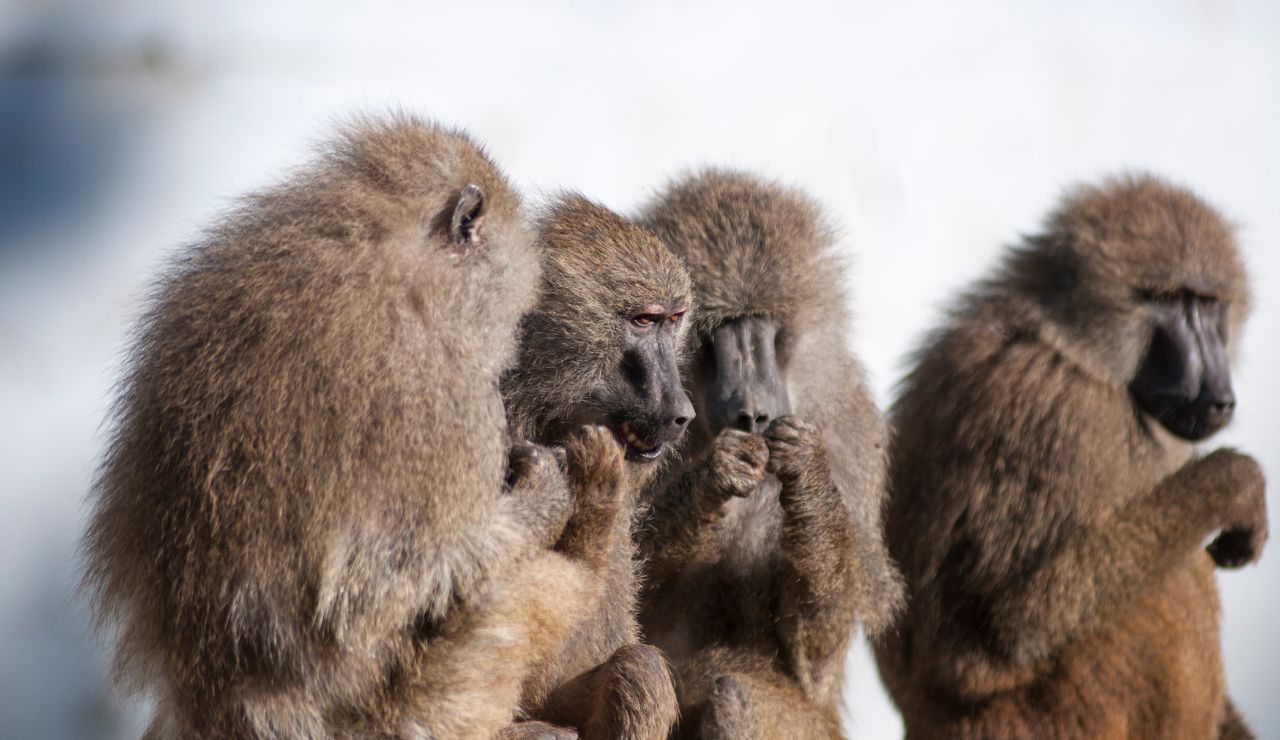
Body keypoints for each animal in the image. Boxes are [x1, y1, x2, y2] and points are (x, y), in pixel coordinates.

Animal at [80, 115, 621, 738]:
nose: (508, 350)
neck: (387, 256)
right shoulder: (452, 406)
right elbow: (376, 599)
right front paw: (543, 497)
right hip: (412, 712)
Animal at [631, 169, 905, 738]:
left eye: (767, 329)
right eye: (717, 332)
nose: (753, 413)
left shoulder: (849, 431)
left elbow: (816, 655)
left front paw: (807, 472)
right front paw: (718, 473)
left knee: (735, 695)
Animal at [873, 173, 1268, 739]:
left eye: (1208, 303)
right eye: (1166, 299)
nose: (1217, 395)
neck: (1075, 347)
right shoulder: (1056, 417)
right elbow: (1025, 617)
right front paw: (1236, 484)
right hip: (1062, 715)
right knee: (1171, 577)